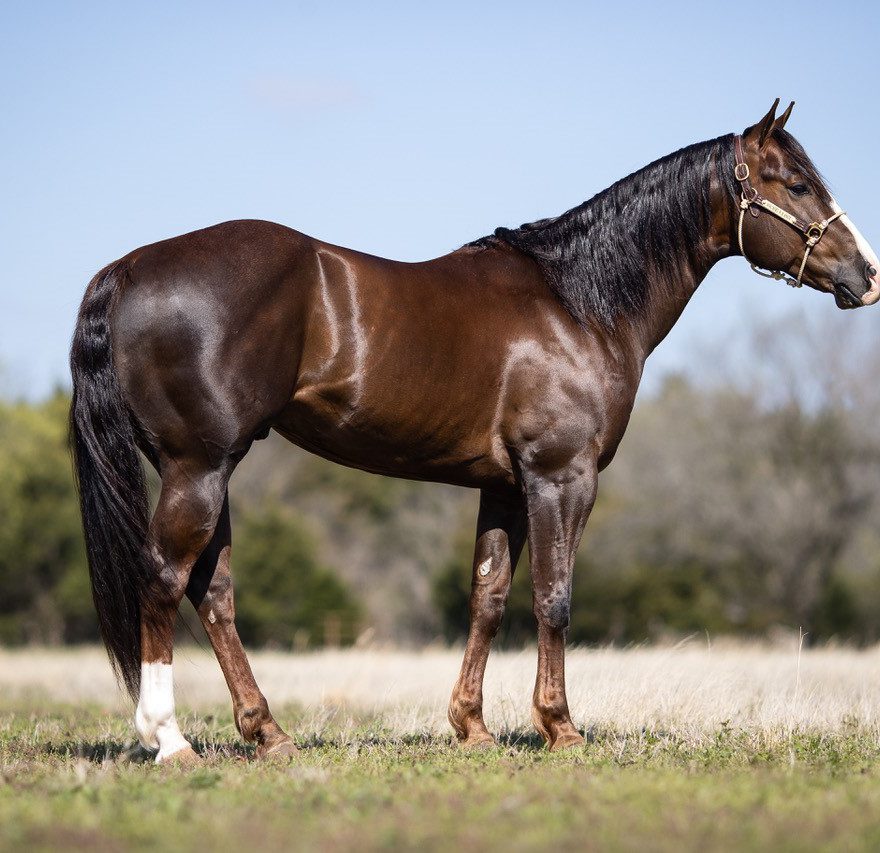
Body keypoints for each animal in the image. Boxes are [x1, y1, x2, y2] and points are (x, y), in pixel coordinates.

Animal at [70, 100, 880, 762]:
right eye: (795, 184)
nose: (867, 276)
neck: (578, 303)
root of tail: (129, 267)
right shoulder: (560, 476)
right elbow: (554, 597)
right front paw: (560, 727)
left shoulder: (504, 486)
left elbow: (487, 597)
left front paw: (473, 726)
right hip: (198, 467)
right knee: (164, 580)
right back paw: (170, 740)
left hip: (208, 468)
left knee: (213, 593)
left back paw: (268, 732)